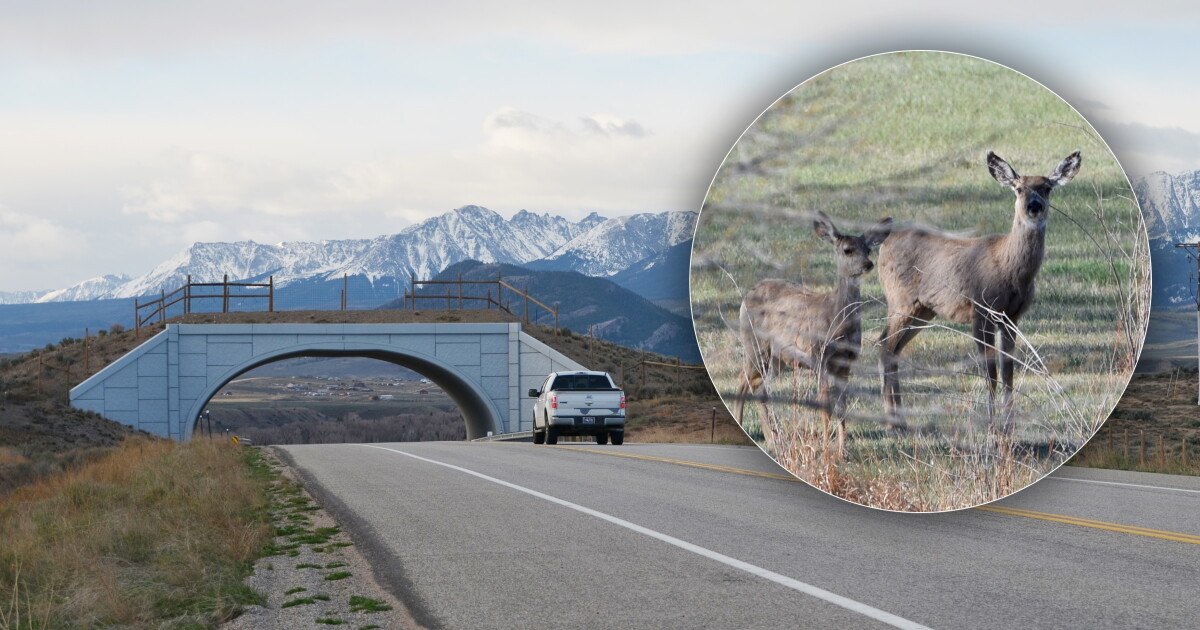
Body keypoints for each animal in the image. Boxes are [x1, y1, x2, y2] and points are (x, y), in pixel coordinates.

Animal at [736, 211, 892, 455]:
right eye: (847, 250)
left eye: (868, 249)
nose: (868, 264)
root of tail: (747, 295)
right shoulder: (819, 356)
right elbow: (825, 407)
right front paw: (828, 451)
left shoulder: (846, 363)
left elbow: (842, 408)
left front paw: (842, 452)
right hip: (754, 342)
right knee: (745, 380)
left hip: (779, 357)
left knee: (759, 385)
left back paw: (774, 440)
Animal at [877, 150, 1082, 431]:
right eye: (1019, 188)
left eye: (1047, 188)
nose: (1034, 206)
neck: (1007, 268)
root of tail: (883, 242)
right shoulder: (980, 310)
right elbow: (990, 372)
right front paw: (992, 424)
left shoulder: (1011, 317)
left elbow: (1007, 371)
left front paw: (1009, 423)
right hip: (900, 300)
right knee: (884, 344)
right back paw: (891, 422)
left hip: (923, 310)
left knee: (893, 348)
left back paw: (900, 419)